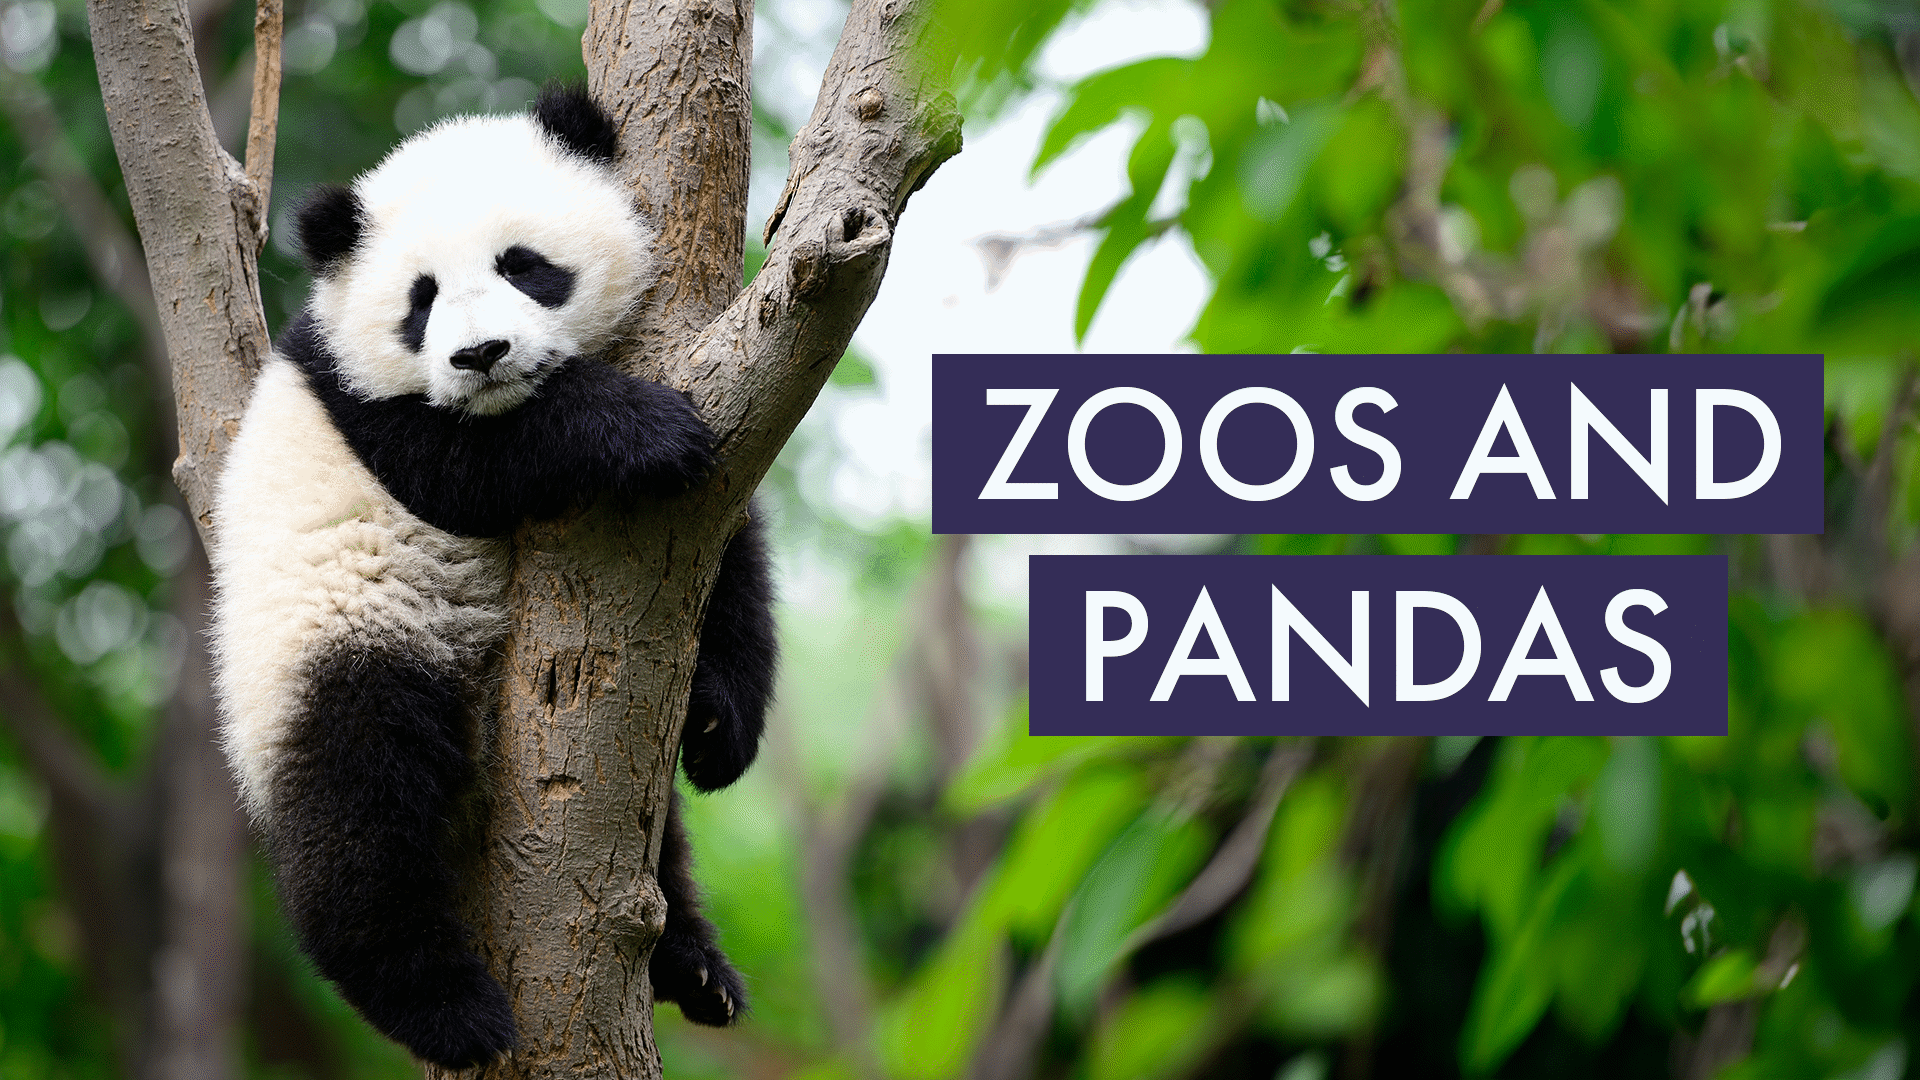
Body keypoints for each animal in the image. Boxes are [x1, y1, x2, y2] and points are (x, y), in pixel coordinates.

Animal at [209, 85, 774, 1069]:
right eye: (420, 300)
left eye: (525, 266)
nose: (481, 356)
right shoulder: (365, 408)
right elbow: (473, 465)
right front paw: (642, 430)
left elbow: (727, 557)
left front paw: (716, 725)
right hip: (333, 639)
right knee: (358, 801)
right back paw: (444, 1006)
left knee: (651, 837)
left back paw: (693, 967)